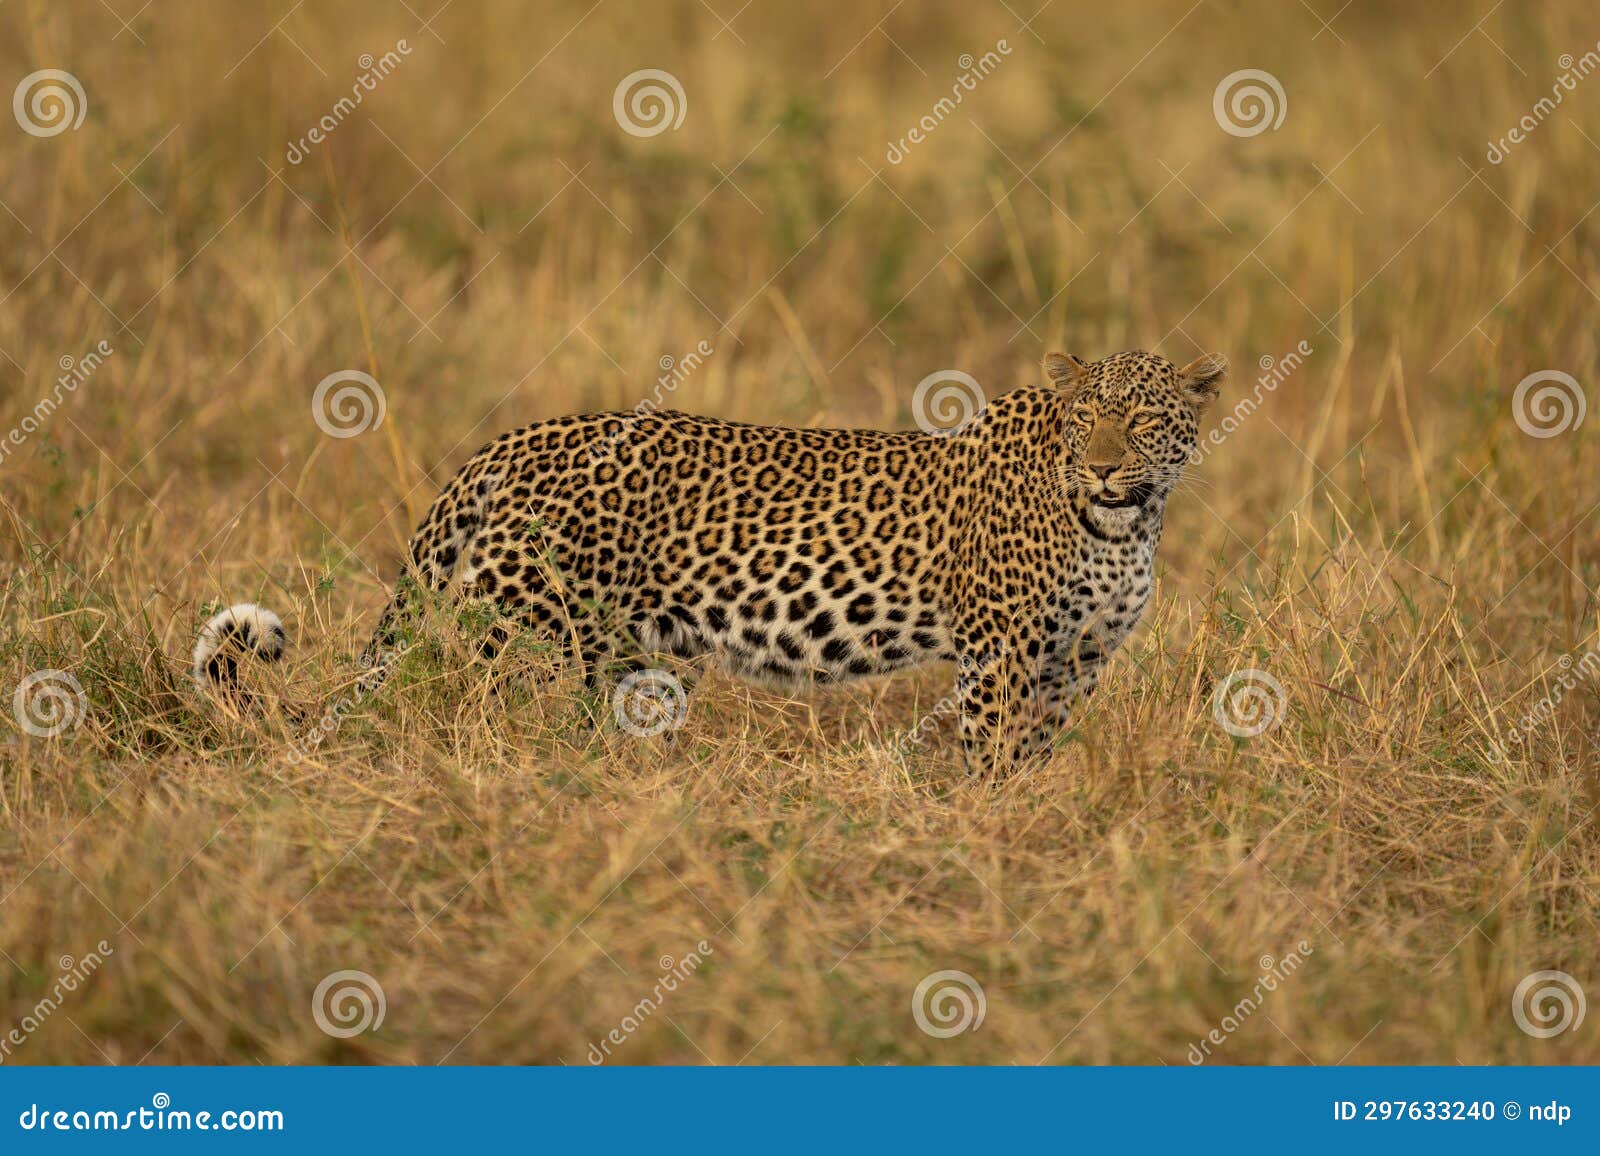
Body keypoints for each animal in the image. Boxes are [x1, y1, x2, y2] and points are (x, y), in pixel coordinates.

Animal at [195, 349, 1226, 770]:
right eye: (1086, 419)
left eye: (1142, 420)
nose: (1105, 466)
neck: (1126, 525)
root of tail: (516, 440)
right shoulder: (1004, 655)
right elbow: (993, 750)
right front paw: (985, 834)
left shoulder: (1075, 660)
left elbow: (1036, 751)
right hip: (526, 628)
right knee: (452, 707)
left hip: (610, 649)